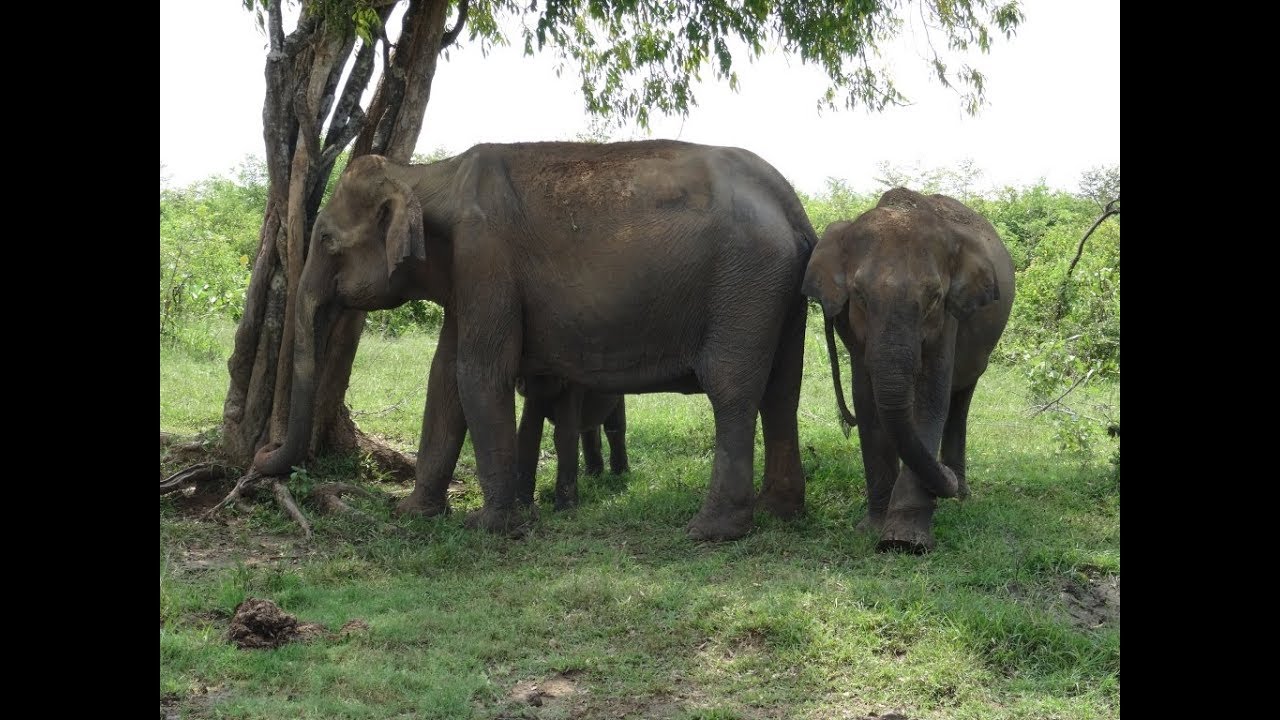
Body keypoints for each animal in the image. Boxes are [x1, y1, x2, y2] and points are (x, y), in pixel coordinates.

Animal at [515, 375, 628, 511]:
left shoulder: (574, 385)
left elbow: (564, 434)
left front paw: (564, 510)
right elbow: (528, 431)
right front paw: (523, 506)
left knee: (614, 427)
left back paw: (620, 475)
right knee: (589, 428)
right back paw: (593, 476)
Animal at [801, 188, 1015, 553]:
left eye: (934, 297)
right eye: (859, 295)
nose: (946, 480)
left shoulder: (949, 319)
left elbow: (931, 399)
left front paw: (903, 540)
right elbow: (868, 402)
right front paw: (873, 529)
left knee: (961, 398)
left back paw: (961, 496)